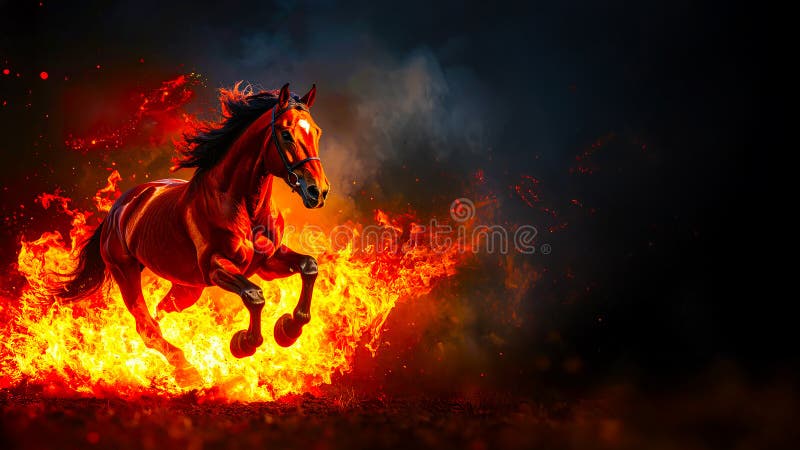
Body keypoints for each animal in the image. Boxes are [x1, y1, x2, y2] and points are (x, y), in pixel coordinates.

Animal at [54, 83, 331, 384]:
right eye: (285, 134)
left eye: (316, 132)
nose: (318, 191)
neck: (243, 207)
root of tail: (120, 207)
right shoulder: (217, 268)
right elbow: (254, 295)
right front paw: (244, 343)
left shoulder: (268, 262)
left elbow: (309, 266)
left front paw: (288, 329)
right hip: (125, 272)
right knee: (146, 326)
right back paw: (186, 370)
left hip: (187, 288)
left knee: (160, 311)